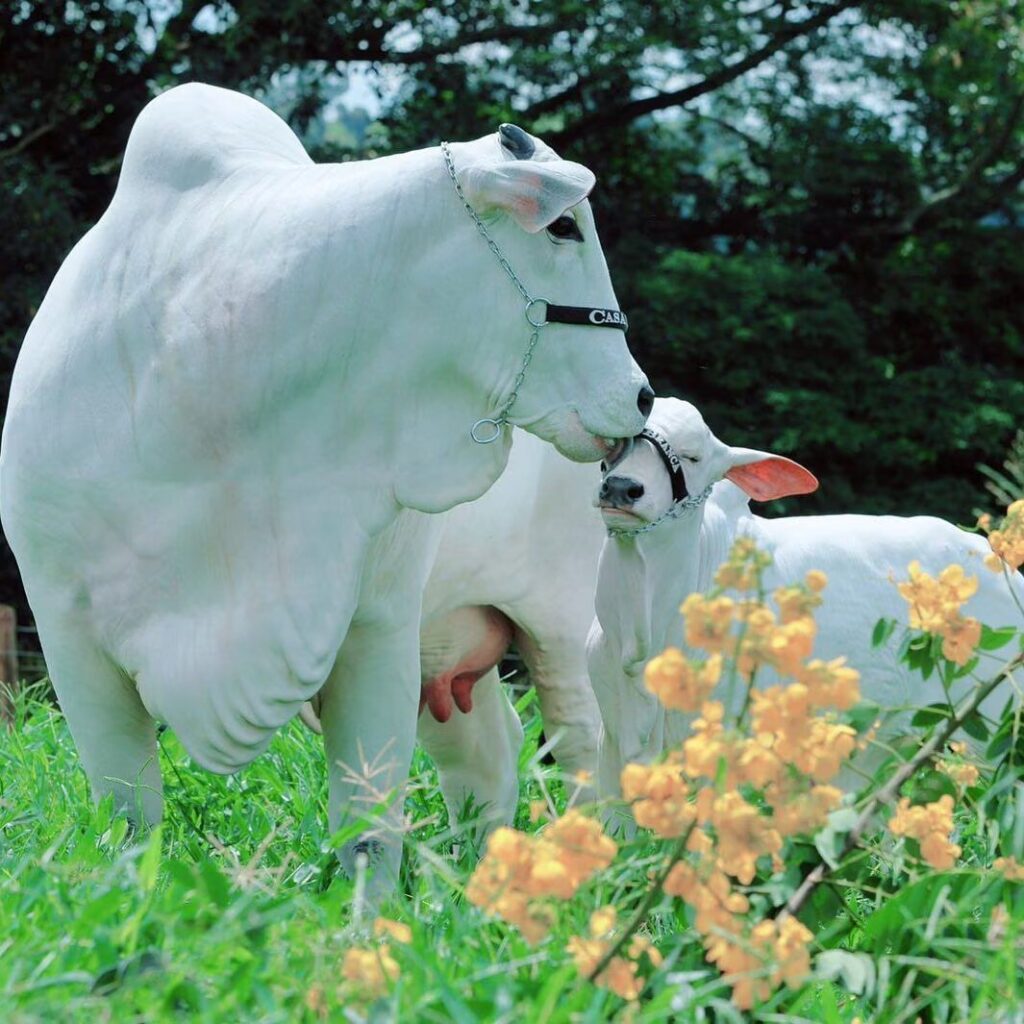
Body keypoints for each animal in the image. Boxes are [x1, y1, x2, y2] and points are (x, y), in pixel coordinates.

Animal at [0, 83, 651, 892]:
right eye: (564, 225)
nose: (639, 397)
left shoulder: (375, 625)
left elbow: (367, 831)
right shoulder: (69, 638)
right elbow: (130, 822)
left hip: (560, 619)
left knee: (584, 743)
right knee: (488, 760)